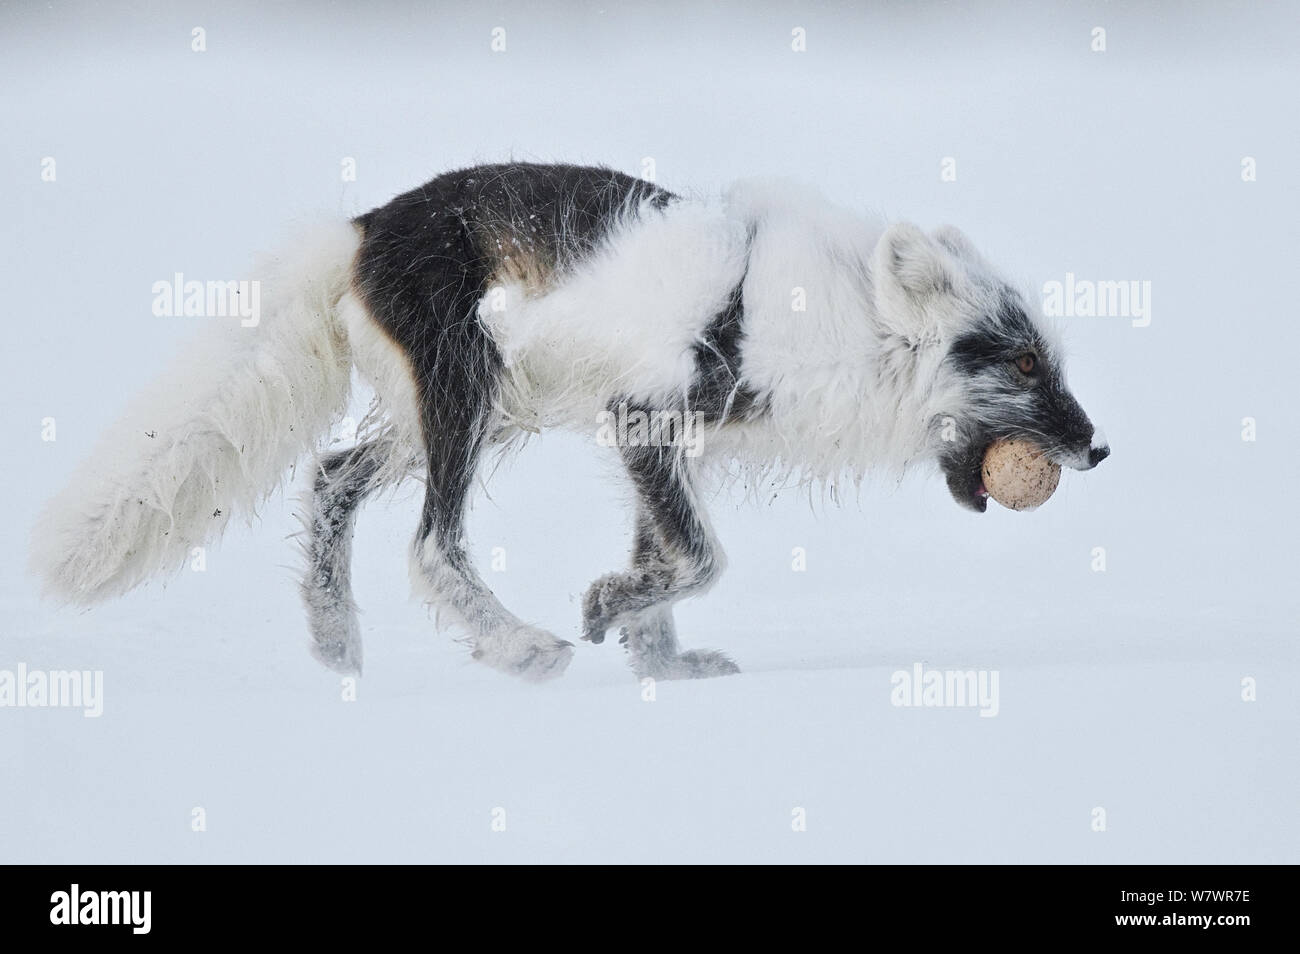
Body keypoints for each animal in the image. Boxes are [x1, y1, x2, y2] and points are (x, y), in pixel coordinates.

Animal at [32, 162, 1110, 682]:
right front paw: (601, 612)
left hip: (464, 414)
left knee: (332, 476)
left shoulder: (664, 447)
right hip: (467, 396)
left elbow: (669, 566)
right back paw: (519, 649)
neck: (831, 318)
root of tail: (364, 225)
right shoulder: (644, 419)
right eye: (1020, 361)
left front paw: (661, 666)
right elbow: (703, 559)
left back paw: (338, 646)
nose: (1099, 447)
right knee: (431, 546)